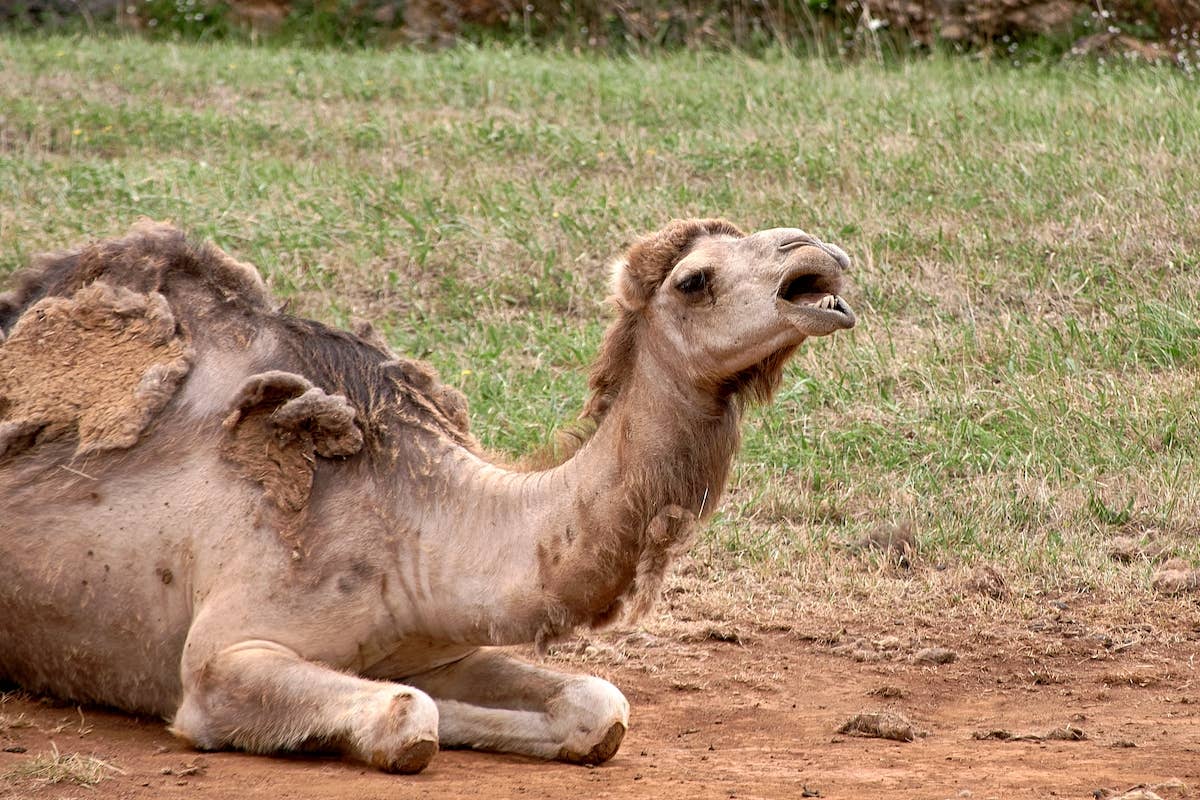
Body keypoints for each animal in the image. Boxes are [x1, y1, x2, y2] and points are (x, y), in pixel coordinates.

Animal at [0, 218, 855, 773]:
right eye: (696, 279)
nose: (823, 256)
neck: (420, 521)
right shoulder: (220, 658)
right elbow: (410, 714)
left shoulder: (431, 636)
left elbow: (597, 705)